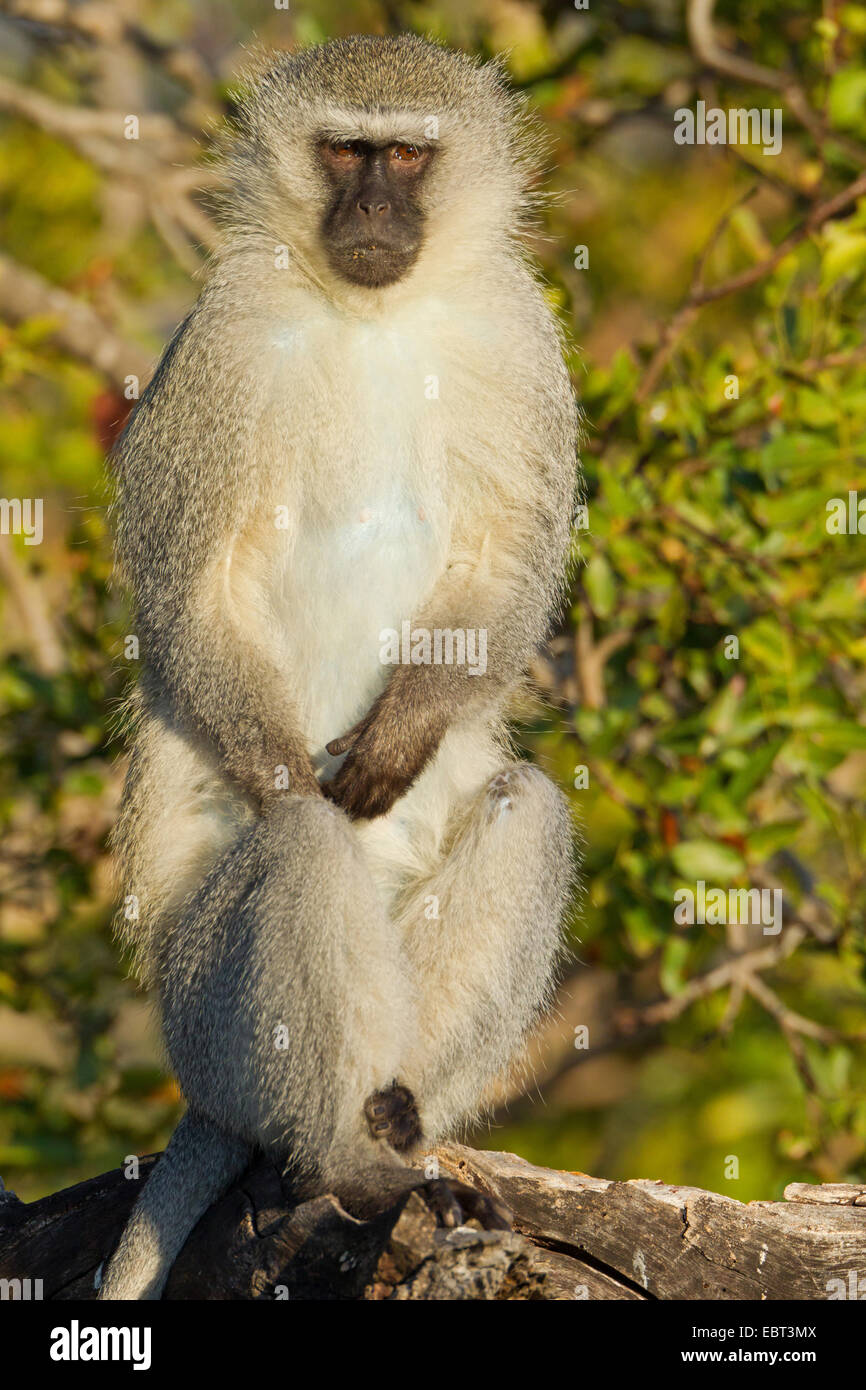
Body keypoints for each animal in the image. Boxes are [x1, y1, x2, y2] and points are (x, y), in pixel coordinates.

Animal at [99, 33, 578, 1300]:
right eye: (341, 152)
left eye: (404, 156)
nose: (369, 208)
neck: (375, 314)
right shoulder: (220, 339)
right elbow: (184, 591)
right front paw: (281, 772)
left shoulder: (518, 330)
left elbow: (512, 557)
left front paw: (401, 738)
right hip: (206, 1024)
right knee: (306, 844)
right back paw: (340, 1158)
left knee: (527, 806)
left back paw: (413, 1139)